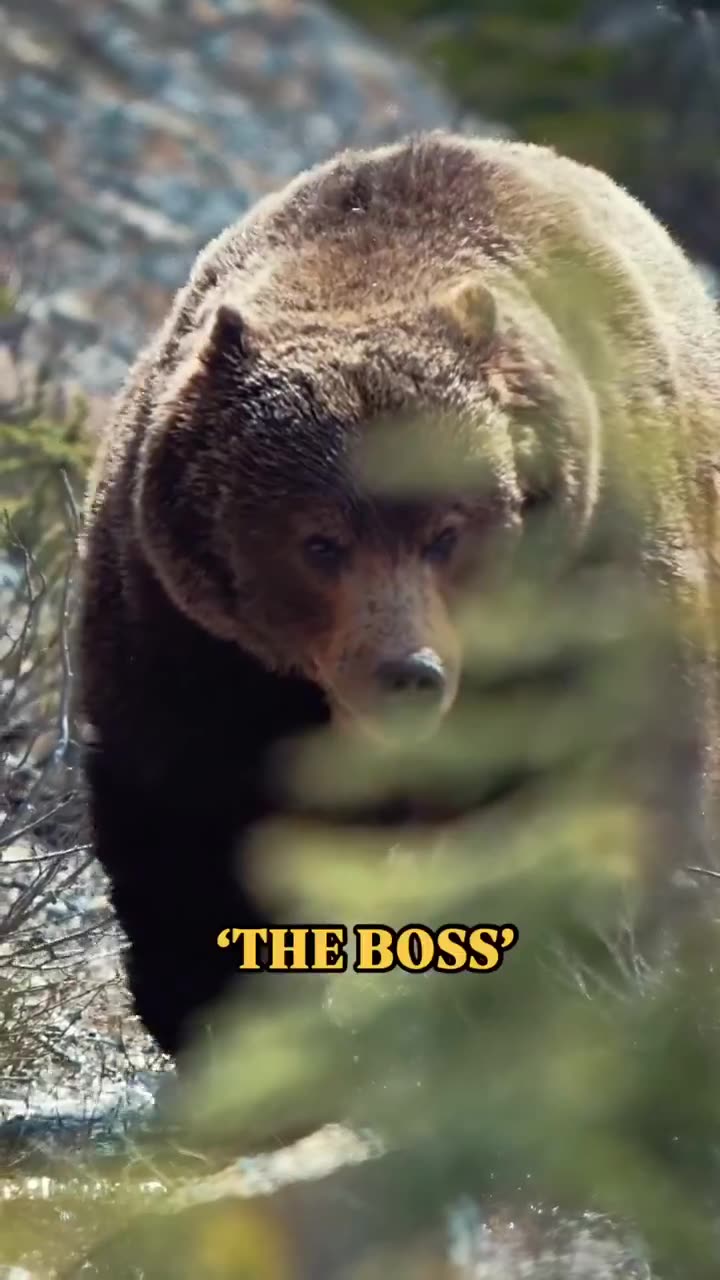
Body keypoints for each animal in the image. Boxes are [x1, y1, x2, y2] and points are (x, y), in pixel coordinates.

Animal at [77, 130, 720, 1074]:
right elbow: (192, 808)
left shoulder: (587, 578)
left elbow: (600, 777)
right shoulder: (190, 631)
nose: (407, 672)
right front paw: (224, 1022)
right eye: (319, 542)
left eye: (447, 531)